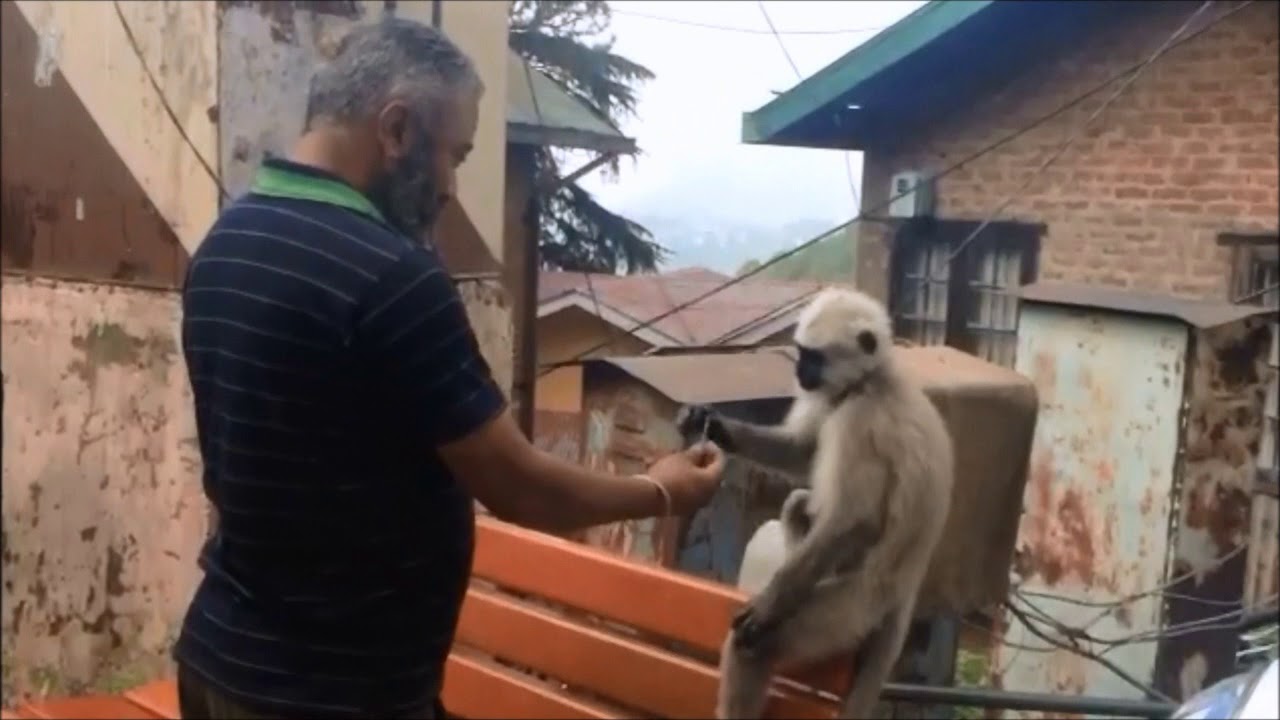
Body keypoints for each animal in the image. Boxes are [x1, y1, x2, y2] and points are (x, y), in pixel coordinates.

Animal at [676, 287, 955, 719]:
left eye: (815, 357)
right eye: (801, 352)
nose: (801, 373)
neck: (872, 381)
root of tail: (906, 588)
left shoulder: (860, 419)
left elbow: (855, 521)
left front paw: (766, 607)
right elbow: (804, 452)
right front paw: (713, 424)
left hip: (848, 609)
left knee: (755, 645)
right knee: (798, 502)